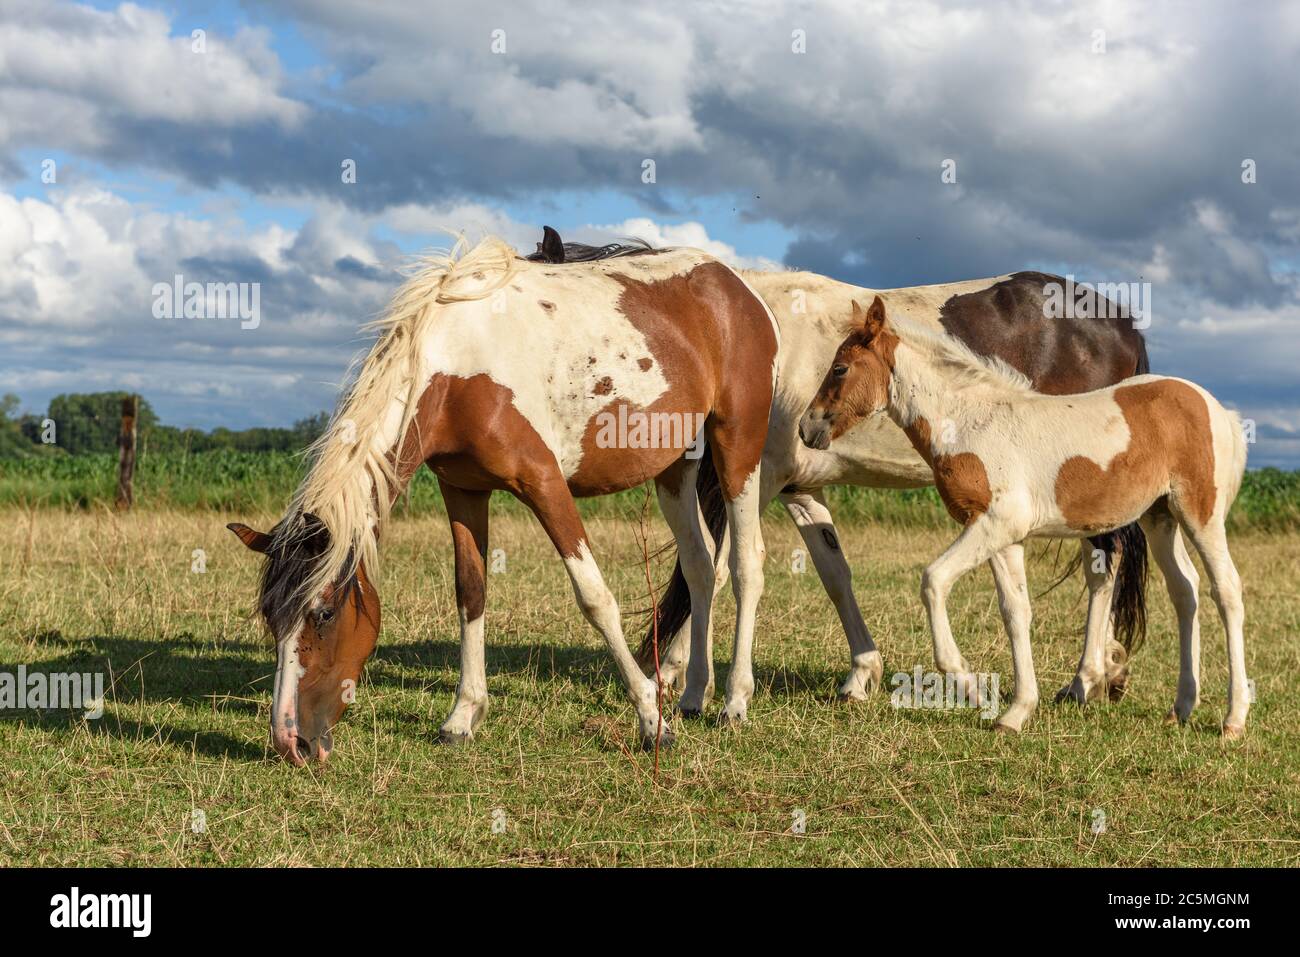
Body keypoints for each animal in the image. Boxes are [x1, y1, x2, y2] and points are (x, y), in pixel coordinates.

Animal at [227, 235, 779, 764]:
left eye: (322, 614)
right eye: (270, 617)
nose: (290, 743)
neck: (452, 369)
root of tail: (736, 284)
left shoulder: (545, 483)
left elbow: (595, 598)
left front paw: (650, 720)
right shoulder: (463, 490)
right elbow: (471, 591)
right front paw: (462, 716)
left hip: (738, 448)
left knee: (745, 564)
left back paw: (734, 701)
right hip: (675, 469)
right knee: (702, 568)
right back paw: (694, 694)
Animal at [640, 267, 1151, 716]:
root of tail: (1121, 324)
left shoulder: (759, 476)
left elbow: (717, 564)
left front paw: (682, 672)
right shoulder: (798, 487)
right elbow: (833, 572)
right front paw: (861, 673)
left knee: (1104, 566)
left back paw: (1085, 679)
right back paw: (1108, 672)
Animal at [800, 295, 1249, 736]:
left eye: (840, 368)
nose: (806, 428)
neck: (969, 422)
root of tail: (1216, 409)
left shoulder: (996, 522)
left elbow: (933, 581)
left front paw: (969, 686)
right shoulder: (1003, 537)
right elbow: (1016, 612)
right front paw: (1016, 712)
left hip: (1201, 514)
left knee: (1226, 589)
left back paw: (1234, 719)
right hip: (1160, 517)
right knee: (1185, 590)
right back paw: (1181, 707)